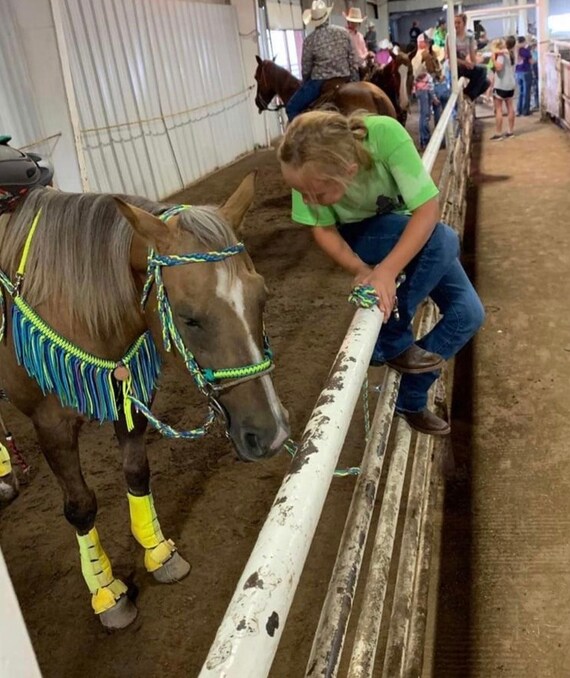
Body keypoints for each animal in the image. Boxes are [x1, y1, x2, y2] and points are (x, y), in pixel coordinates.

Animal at [0, 173, 290, 629]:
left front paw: (159, 553)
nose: (273, 434)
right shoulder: (50, 424)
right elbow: (80, 506)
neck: (70, 299)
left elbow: (137, 474)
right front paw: (106, 593)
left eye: (262, 297)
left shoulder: (129, 392)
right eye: (189, 318)